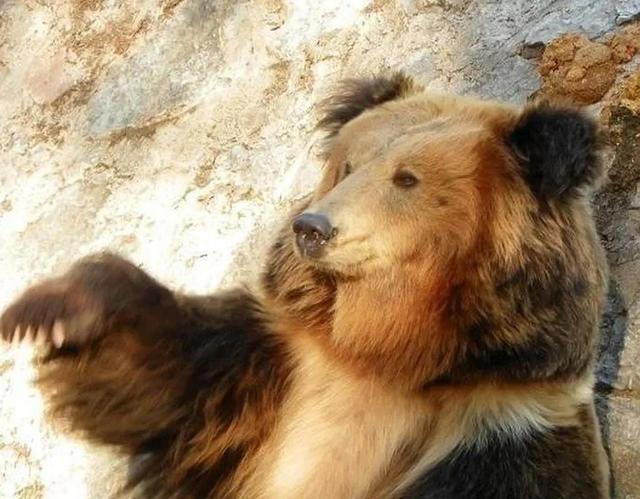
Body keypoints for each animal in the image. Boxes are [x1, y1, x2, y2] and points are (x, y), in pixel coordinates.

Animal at [1, 71, 610, 499]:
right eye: (349, 165)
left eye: (406, 178)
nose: (311, 228)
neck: (386, 356)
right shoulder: (280, 372)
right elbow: (162, 372)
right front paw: (57, 310)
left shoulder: (497, 432)